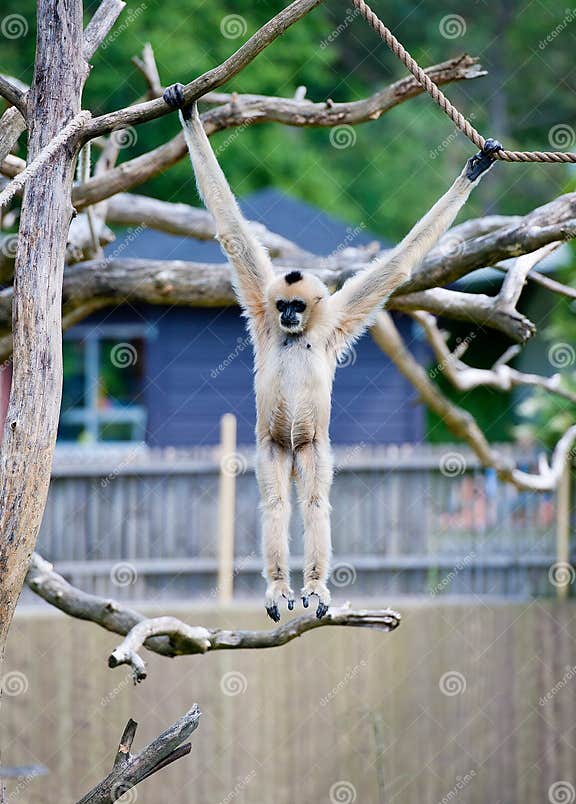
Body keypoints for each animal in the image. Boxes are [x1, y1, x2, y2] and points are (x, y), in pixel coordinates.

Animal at [163, 83, 501, 622]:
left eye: (298, 305)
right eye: (283, 305)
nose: (288, 317)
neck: (296, 333)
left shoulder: (334, 320)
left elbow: (396, 267)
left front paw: (473, 170)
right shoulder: (260, 306)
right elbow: (232, 232)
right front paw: (188, 111)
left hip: (313, 446)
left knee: (315, 501)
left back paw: (314, 586)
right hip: (273, 446)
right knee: (278, 503)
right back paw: (281, 587)